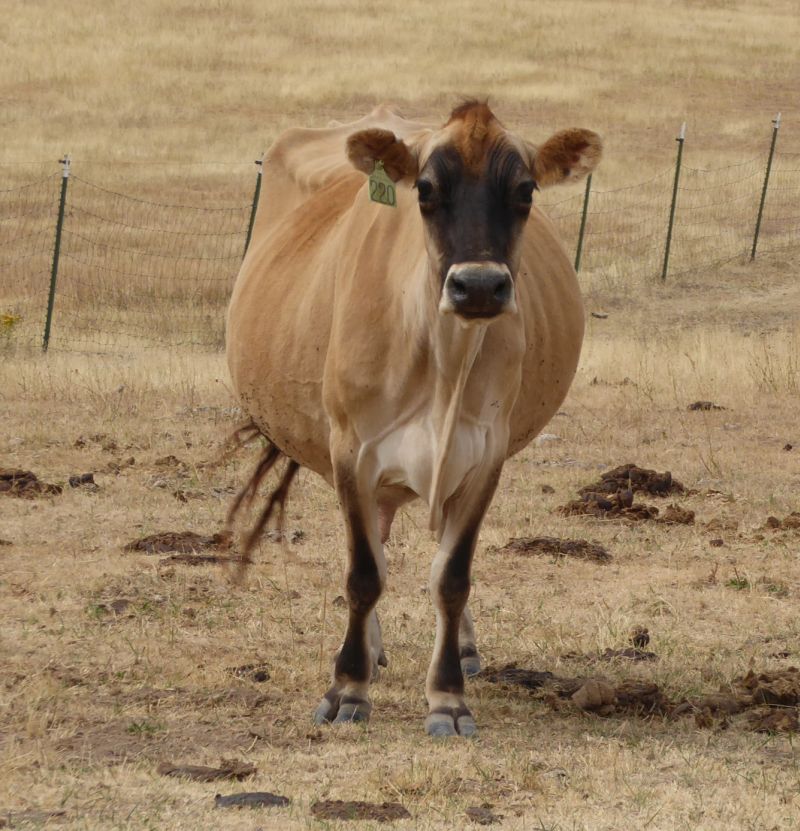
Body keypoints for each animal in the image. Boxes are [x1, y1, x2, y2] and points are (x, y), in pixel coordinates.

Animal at [226, 101, 601, 737]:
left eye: (525, 190)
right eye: (425, 189)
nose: (479, 285)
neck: (444, 357)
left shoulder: (485, 457)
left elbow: (451, 576)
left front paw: (448, 697)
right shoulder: (353, 451)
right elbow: (363, 573)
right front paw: (347, 689)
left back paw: (462, 650)